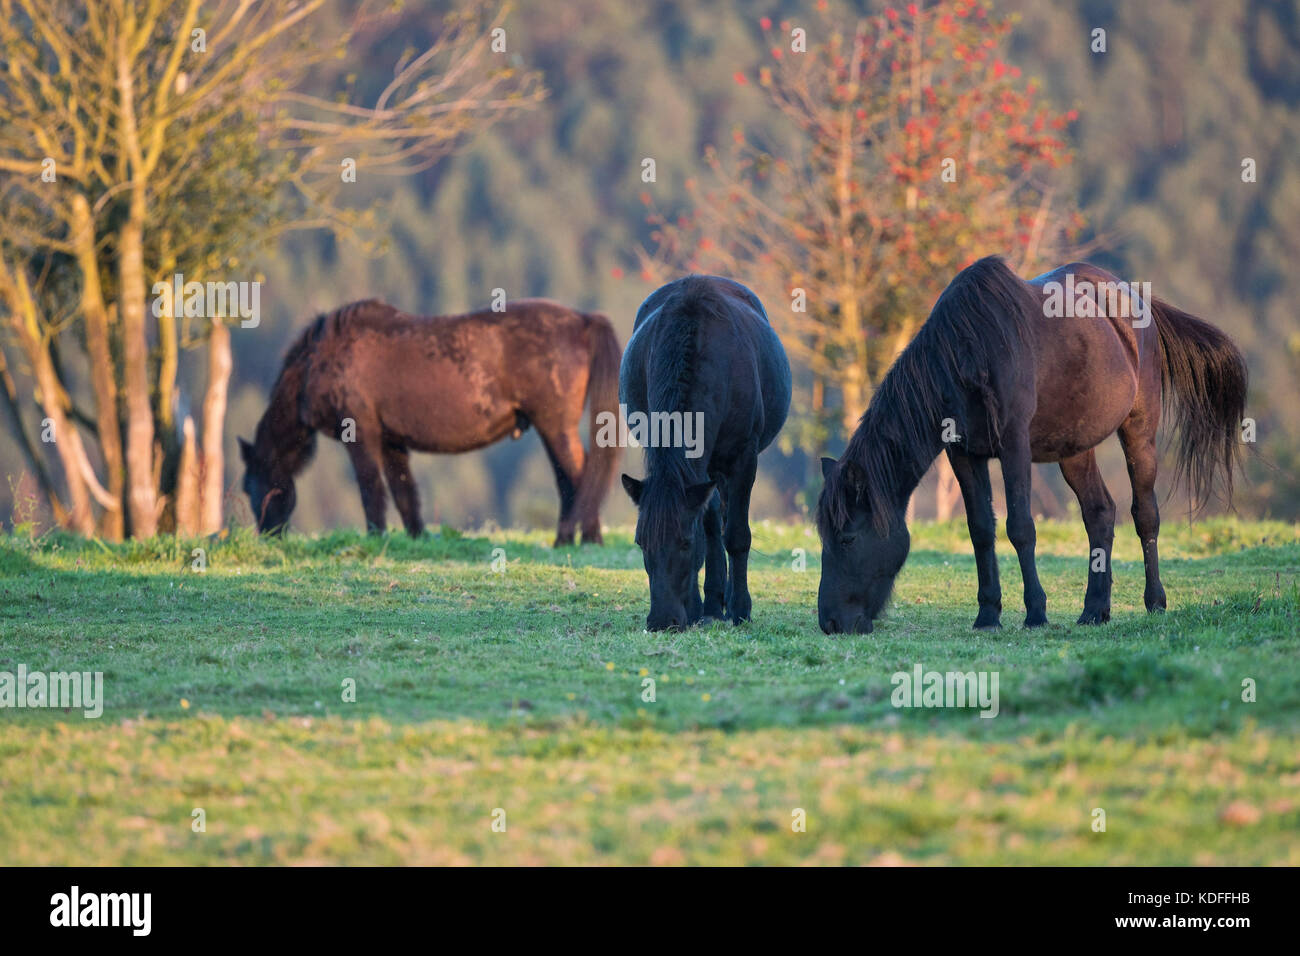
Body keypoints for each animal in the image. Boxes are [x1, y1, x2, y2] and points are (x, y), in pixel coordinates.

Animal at [239, 298, 621, 545]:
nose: (268, 537)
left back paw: (585, 539)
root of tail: (583, 320)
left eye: (252, 486)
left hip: (554, 427)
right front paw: (416, 538)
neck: (318, 362)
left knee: (580, 475)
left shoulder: (360, 433)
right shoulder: (391, 441)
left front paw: (376, 537)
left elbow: (371, 488)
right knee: (569, 479)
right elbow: (404, 491)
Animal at [620, 276, 791, 630]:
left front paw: (741, 609)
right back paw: (711, 603)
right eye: (641, 542)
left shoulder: (743, 457)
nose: (662, 620)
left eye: (685, 542)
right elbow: (711, 529)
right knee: (714, 522)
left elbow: (736, 534)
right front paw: (703, 606)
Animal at [816, 256, 1247, 635]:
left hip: (1139, 429)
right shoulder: (963, 454)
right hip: (1074, 450)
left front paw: (1036, 613)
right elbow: (980, 530)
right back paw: (1095, 610)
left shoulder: (1014, 446)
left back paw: (1155, 601)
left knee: (1145, 515)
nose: (831, 623)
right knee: (1100, 514)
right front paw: (988, 614)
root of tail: (1135, 298)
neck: (968, 352)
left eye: (847, 538)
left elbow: (1021, 527)